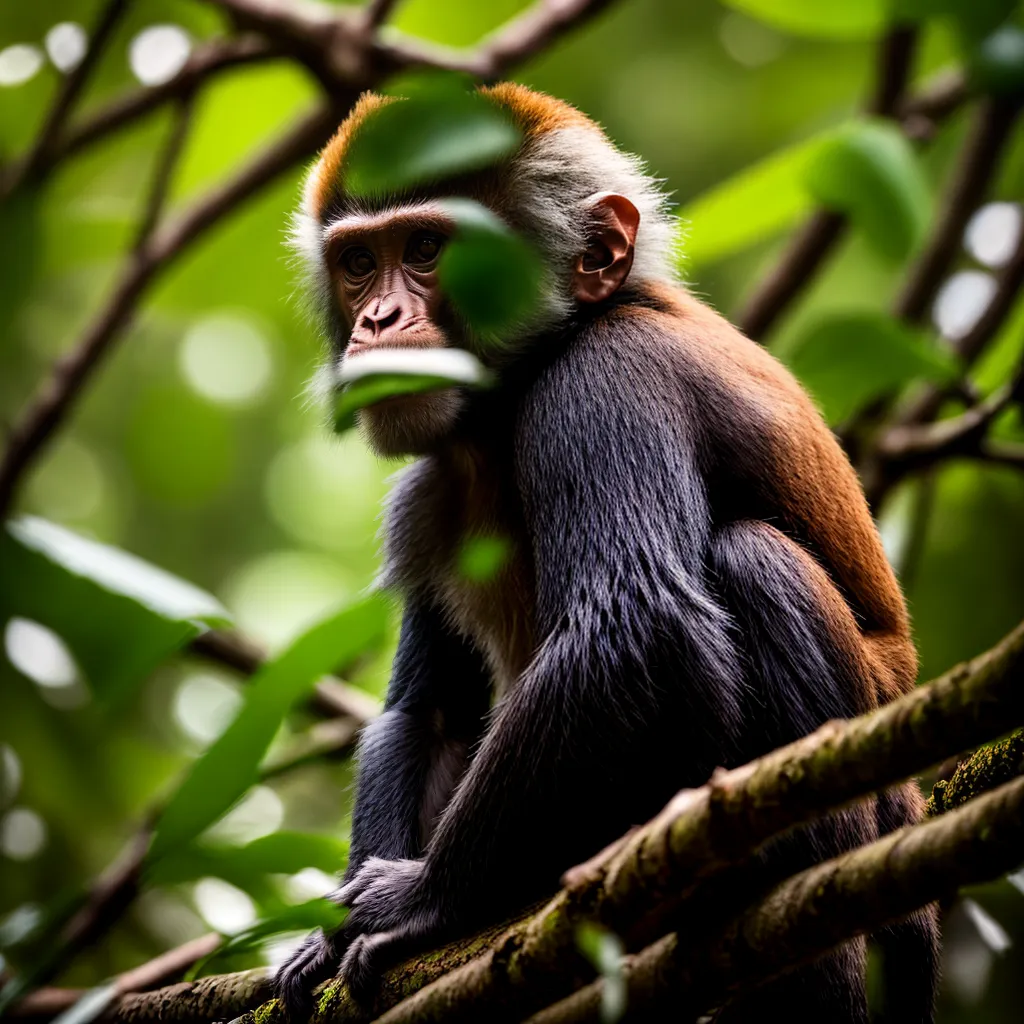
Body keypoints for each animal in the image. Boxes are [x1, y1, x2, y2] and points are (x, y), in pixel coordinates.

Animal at [277, 84, 939, 1022]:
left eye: (429, 248)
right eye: (359, 262)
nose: (376, 320)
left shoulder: (606, 380)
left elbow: (633, 628)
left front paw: (422, 901)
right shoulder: (429, 494)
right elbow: (428, 715)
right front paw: (327, 942)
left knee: (751, 558)